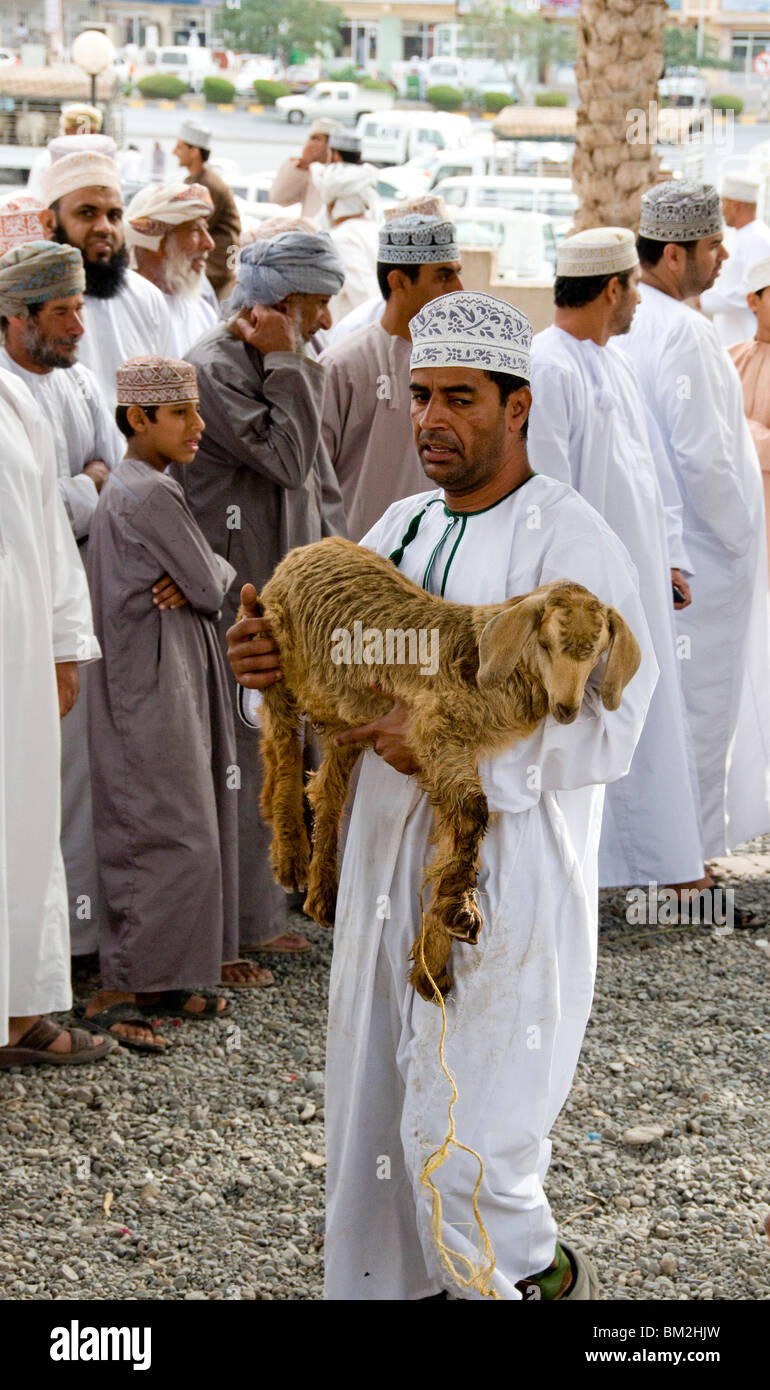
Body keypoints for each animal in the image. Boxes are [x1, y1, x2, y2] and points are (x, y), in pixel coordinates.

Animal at [253, 537, 641, 1002]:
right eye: (546, 643)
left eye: (598, 652)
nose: (567, 709)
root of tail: (307, 549)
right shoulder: (435, 728)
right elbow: (472, 811)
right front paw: (455, 920)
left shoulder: (446, 747)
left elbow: (457, 829)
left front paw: (433, 965)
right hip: (277, 652)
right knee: (282, 745)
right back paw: (289, 855)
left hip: (349, 712)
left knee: (326, 788)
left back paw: (322, 896)